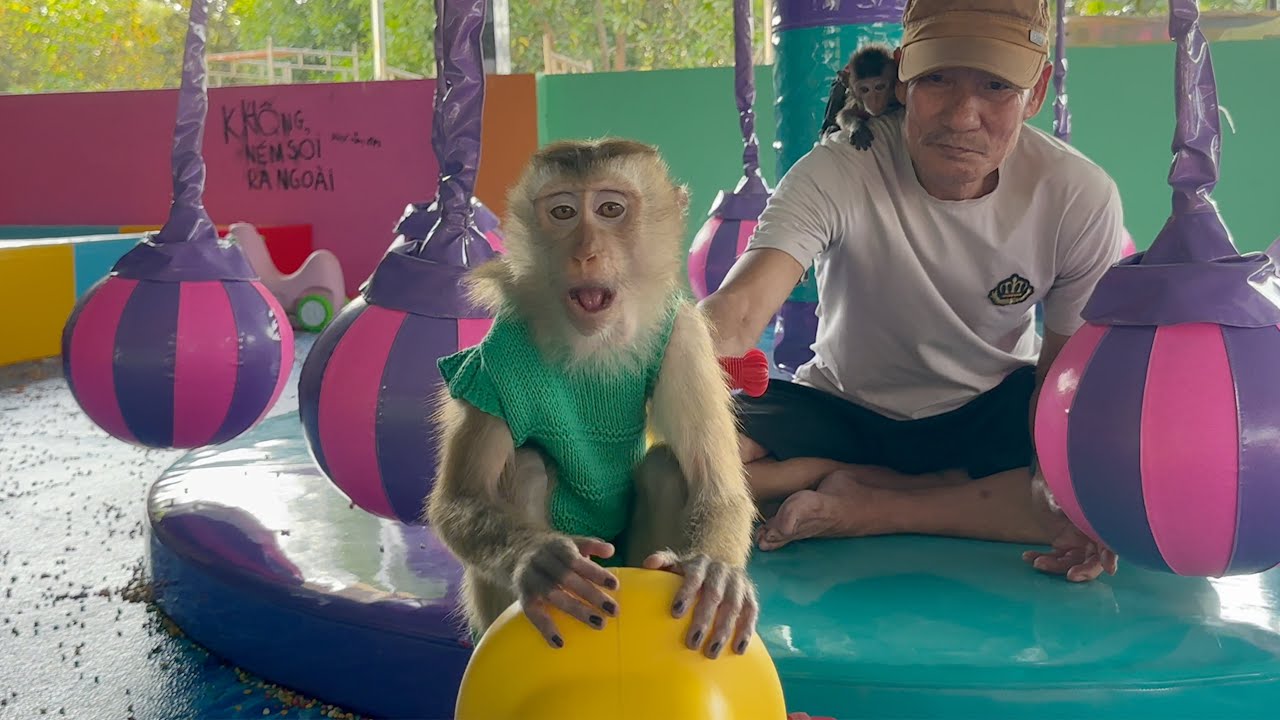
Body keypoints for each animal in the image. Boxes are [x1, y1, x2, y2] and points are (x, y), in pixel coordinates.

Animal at [425, 138, 760, 660]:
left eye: (610, 209)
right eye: (563, 212)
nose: (586, 253)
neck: (592, 345)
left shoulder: (683, 337)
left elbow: (716, 487)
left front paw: (713, 573)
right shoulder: (491, 361)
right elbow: (459, 499)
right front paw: (540, 562)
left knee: (667, 466)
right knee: (524, 465)